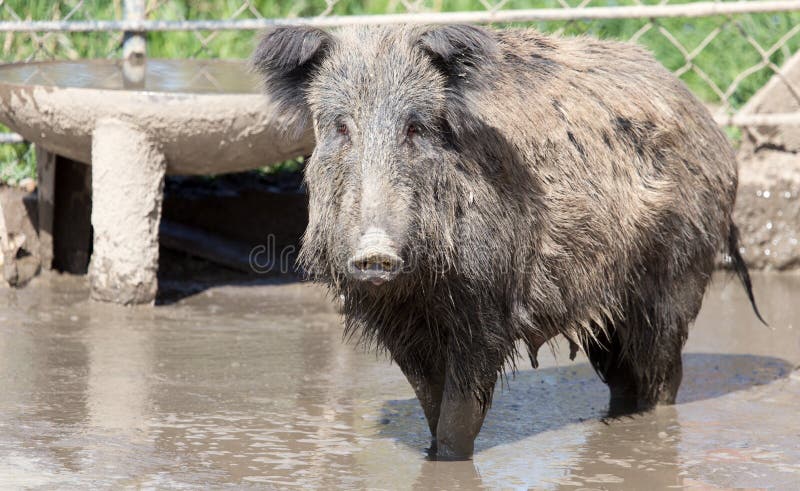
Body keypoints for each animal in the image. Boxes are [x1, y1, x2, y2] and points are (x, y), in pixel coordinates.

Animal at [252, 25, 763, 460]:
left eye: (415, 127)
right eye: (341, 127)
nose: (375, 252)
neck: (421, 290)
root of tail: (709, 122)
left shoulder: (487, 307)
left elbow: (460, 416)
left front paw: (449, 459)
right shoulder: (398, 326)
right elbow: (430, 405)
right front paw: (430, 452)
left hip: (677, 274)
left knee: (664, 375)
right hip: (608, 306)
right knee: (624, 377)